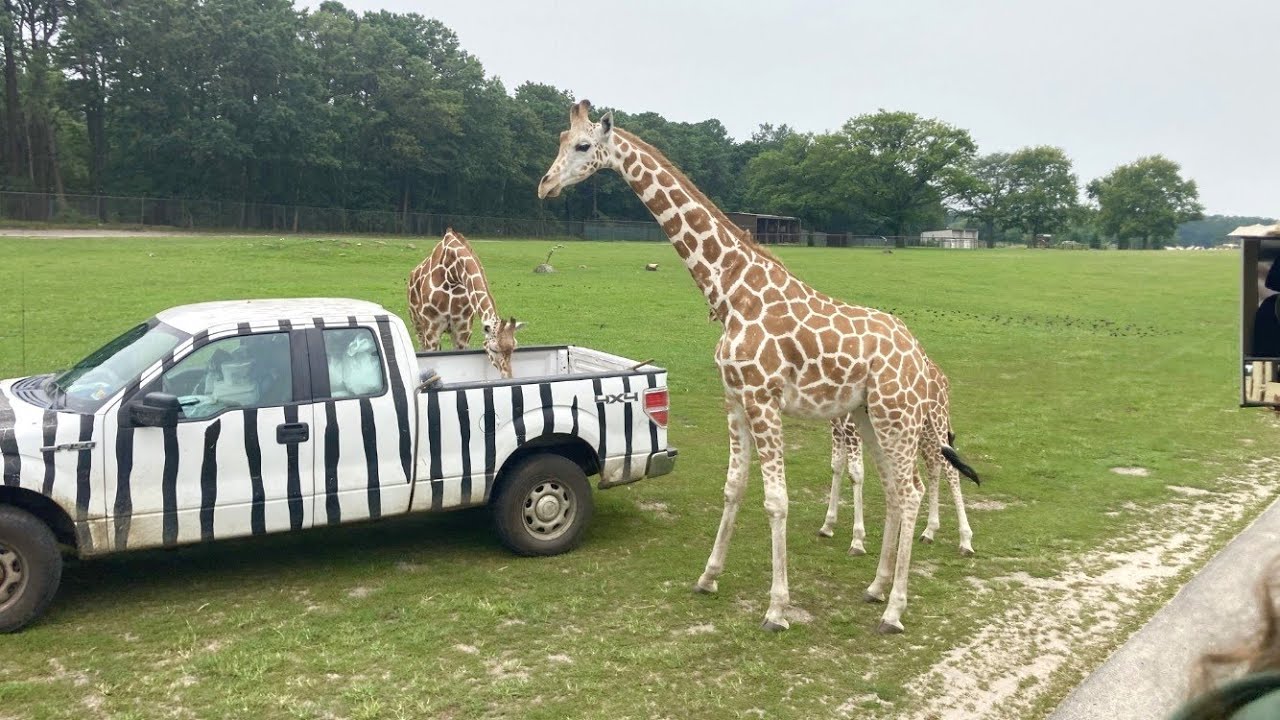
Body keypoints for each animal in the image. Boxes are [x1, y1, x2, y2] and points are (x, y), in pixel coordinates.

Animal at [407, 228, 525, 377]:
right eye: (493, 349)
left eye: (514, 346)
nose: (508, 376)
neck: (451, 275)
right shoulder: (431, 329)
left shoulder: (463, 330)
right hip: (418, 325)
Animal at [819, 357, 981, 557]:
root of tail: (943, 378)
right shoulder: (837, 423)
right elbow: (836, 465)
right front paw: (828, 525)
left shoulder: (851, 425)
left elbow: (856, 474)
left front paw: (857, 540)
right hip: (920, 430)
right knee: (933, 465)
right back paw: (927, 531)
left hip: (937, 420)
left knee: (949, 469)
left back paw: (965, 541)